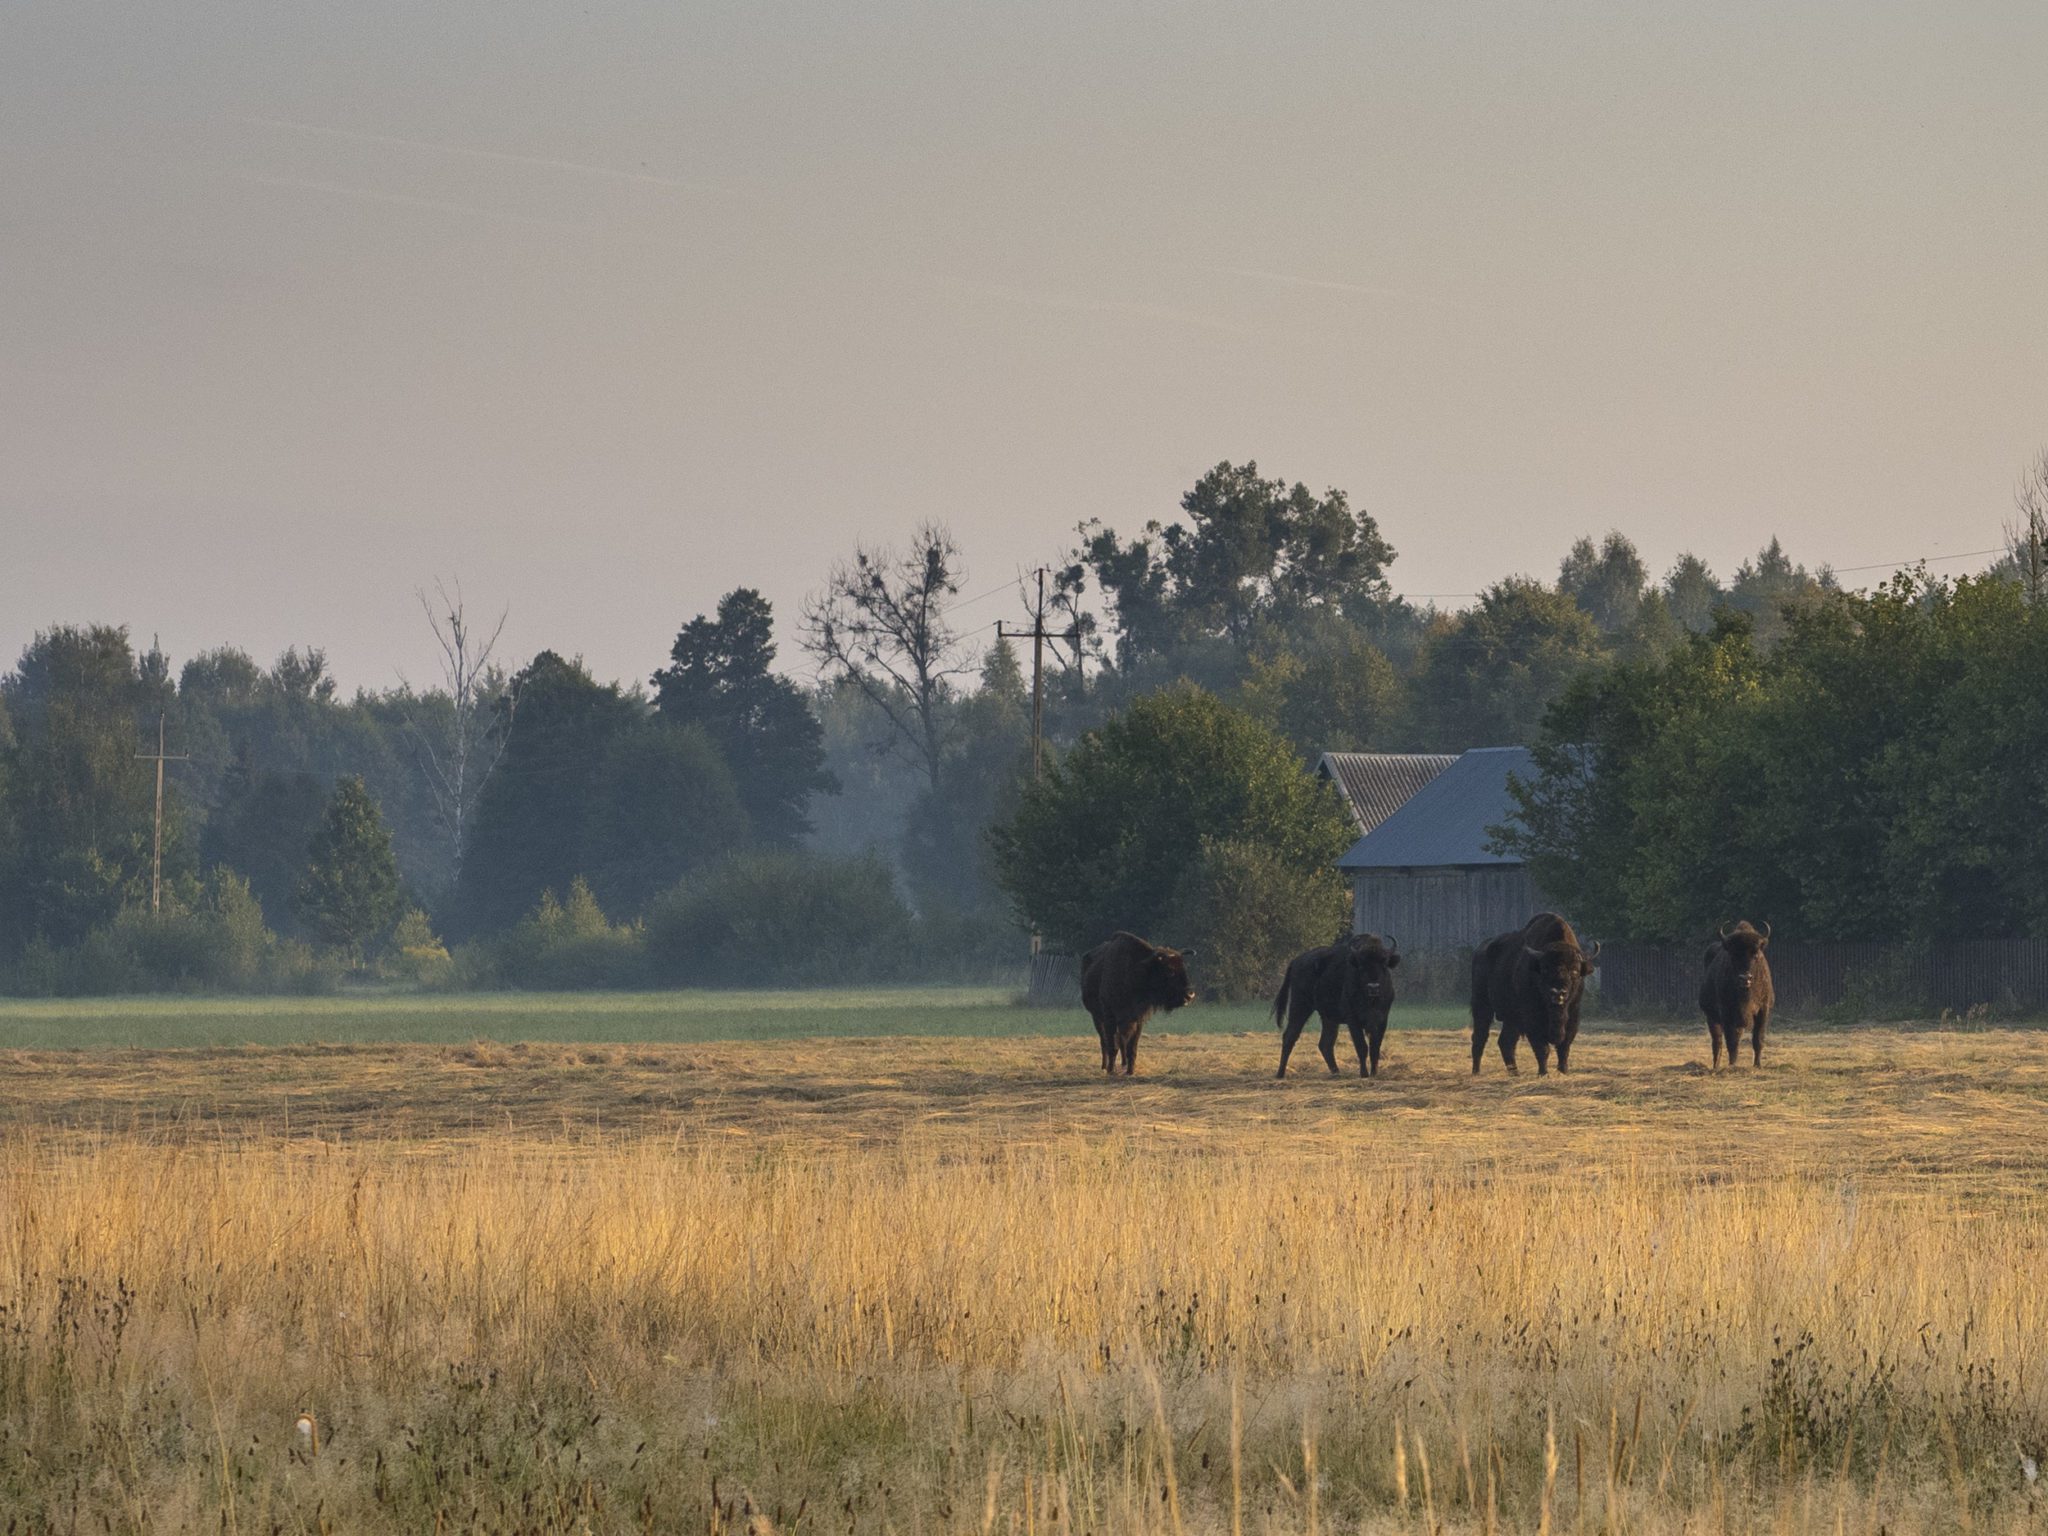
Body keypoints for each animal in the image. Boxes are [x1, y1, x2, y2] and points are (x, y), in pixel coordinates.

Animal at [1079, 931, 1195, 1076]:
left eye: (1184, 968)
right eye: (1170, 970)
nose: (1190, 995)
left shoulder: (1138, 1019)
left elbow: (1131, 1047)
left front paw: (1130, 1071)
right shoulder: (1109, 1017)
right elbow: (1112, 1045)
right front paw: (1111, 1070)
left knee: (1121, 1041)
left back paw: (1123, 1064)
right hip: (1096, 1017)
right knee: (1104, 1041)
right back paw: (1105, 1066)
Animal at [1272, 933, 1401, 1078]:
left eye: (1384, 963)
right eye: (1361, 964)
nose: (1373, 987)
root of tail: (1295, 961)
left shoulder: (1382, 1019)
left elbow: (1375, 1047)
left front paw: (1374, 1073)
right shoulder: (1353, 1020)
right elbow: (1361, 1046)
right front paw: (1364, 1073)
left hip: (1328, 1018)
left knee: (1325, 1044)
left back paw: (1336, 1072)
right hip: (1300, 1007)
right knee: (1290, 1036)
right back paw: (1280, 1073)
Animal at [1469, 912, 1600, 1075]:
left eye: (1575, 971)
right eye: (1545, 969)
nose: (1558, 993)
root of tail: (1480, 951)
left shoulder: (1573, 1014)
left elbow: (1564, 1047)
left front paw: (1563, 1071)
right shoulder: (1532, 1017)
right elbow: (1542, 1048)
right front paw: (1543, 1073)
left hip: (1512, 1018)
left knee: (1505, 1041)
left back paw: (1515, 1073)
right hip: (1482, 1006)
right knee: (1480, 1037)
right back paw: (1476, 1072)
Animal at [1700, 920, 1774, 1067]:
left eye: (1756, 954)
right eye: (1733, 955)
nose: (1745, 978)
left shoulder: (1763, 1009)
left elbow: (1758, 1038)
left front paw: (1757, 1065)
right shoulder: (1726, 1012)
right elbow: (1731, 1041)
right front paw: (1732, 1065)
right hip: (1711, 1016)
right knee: (1717, 1041)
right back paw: (1716, 1066)